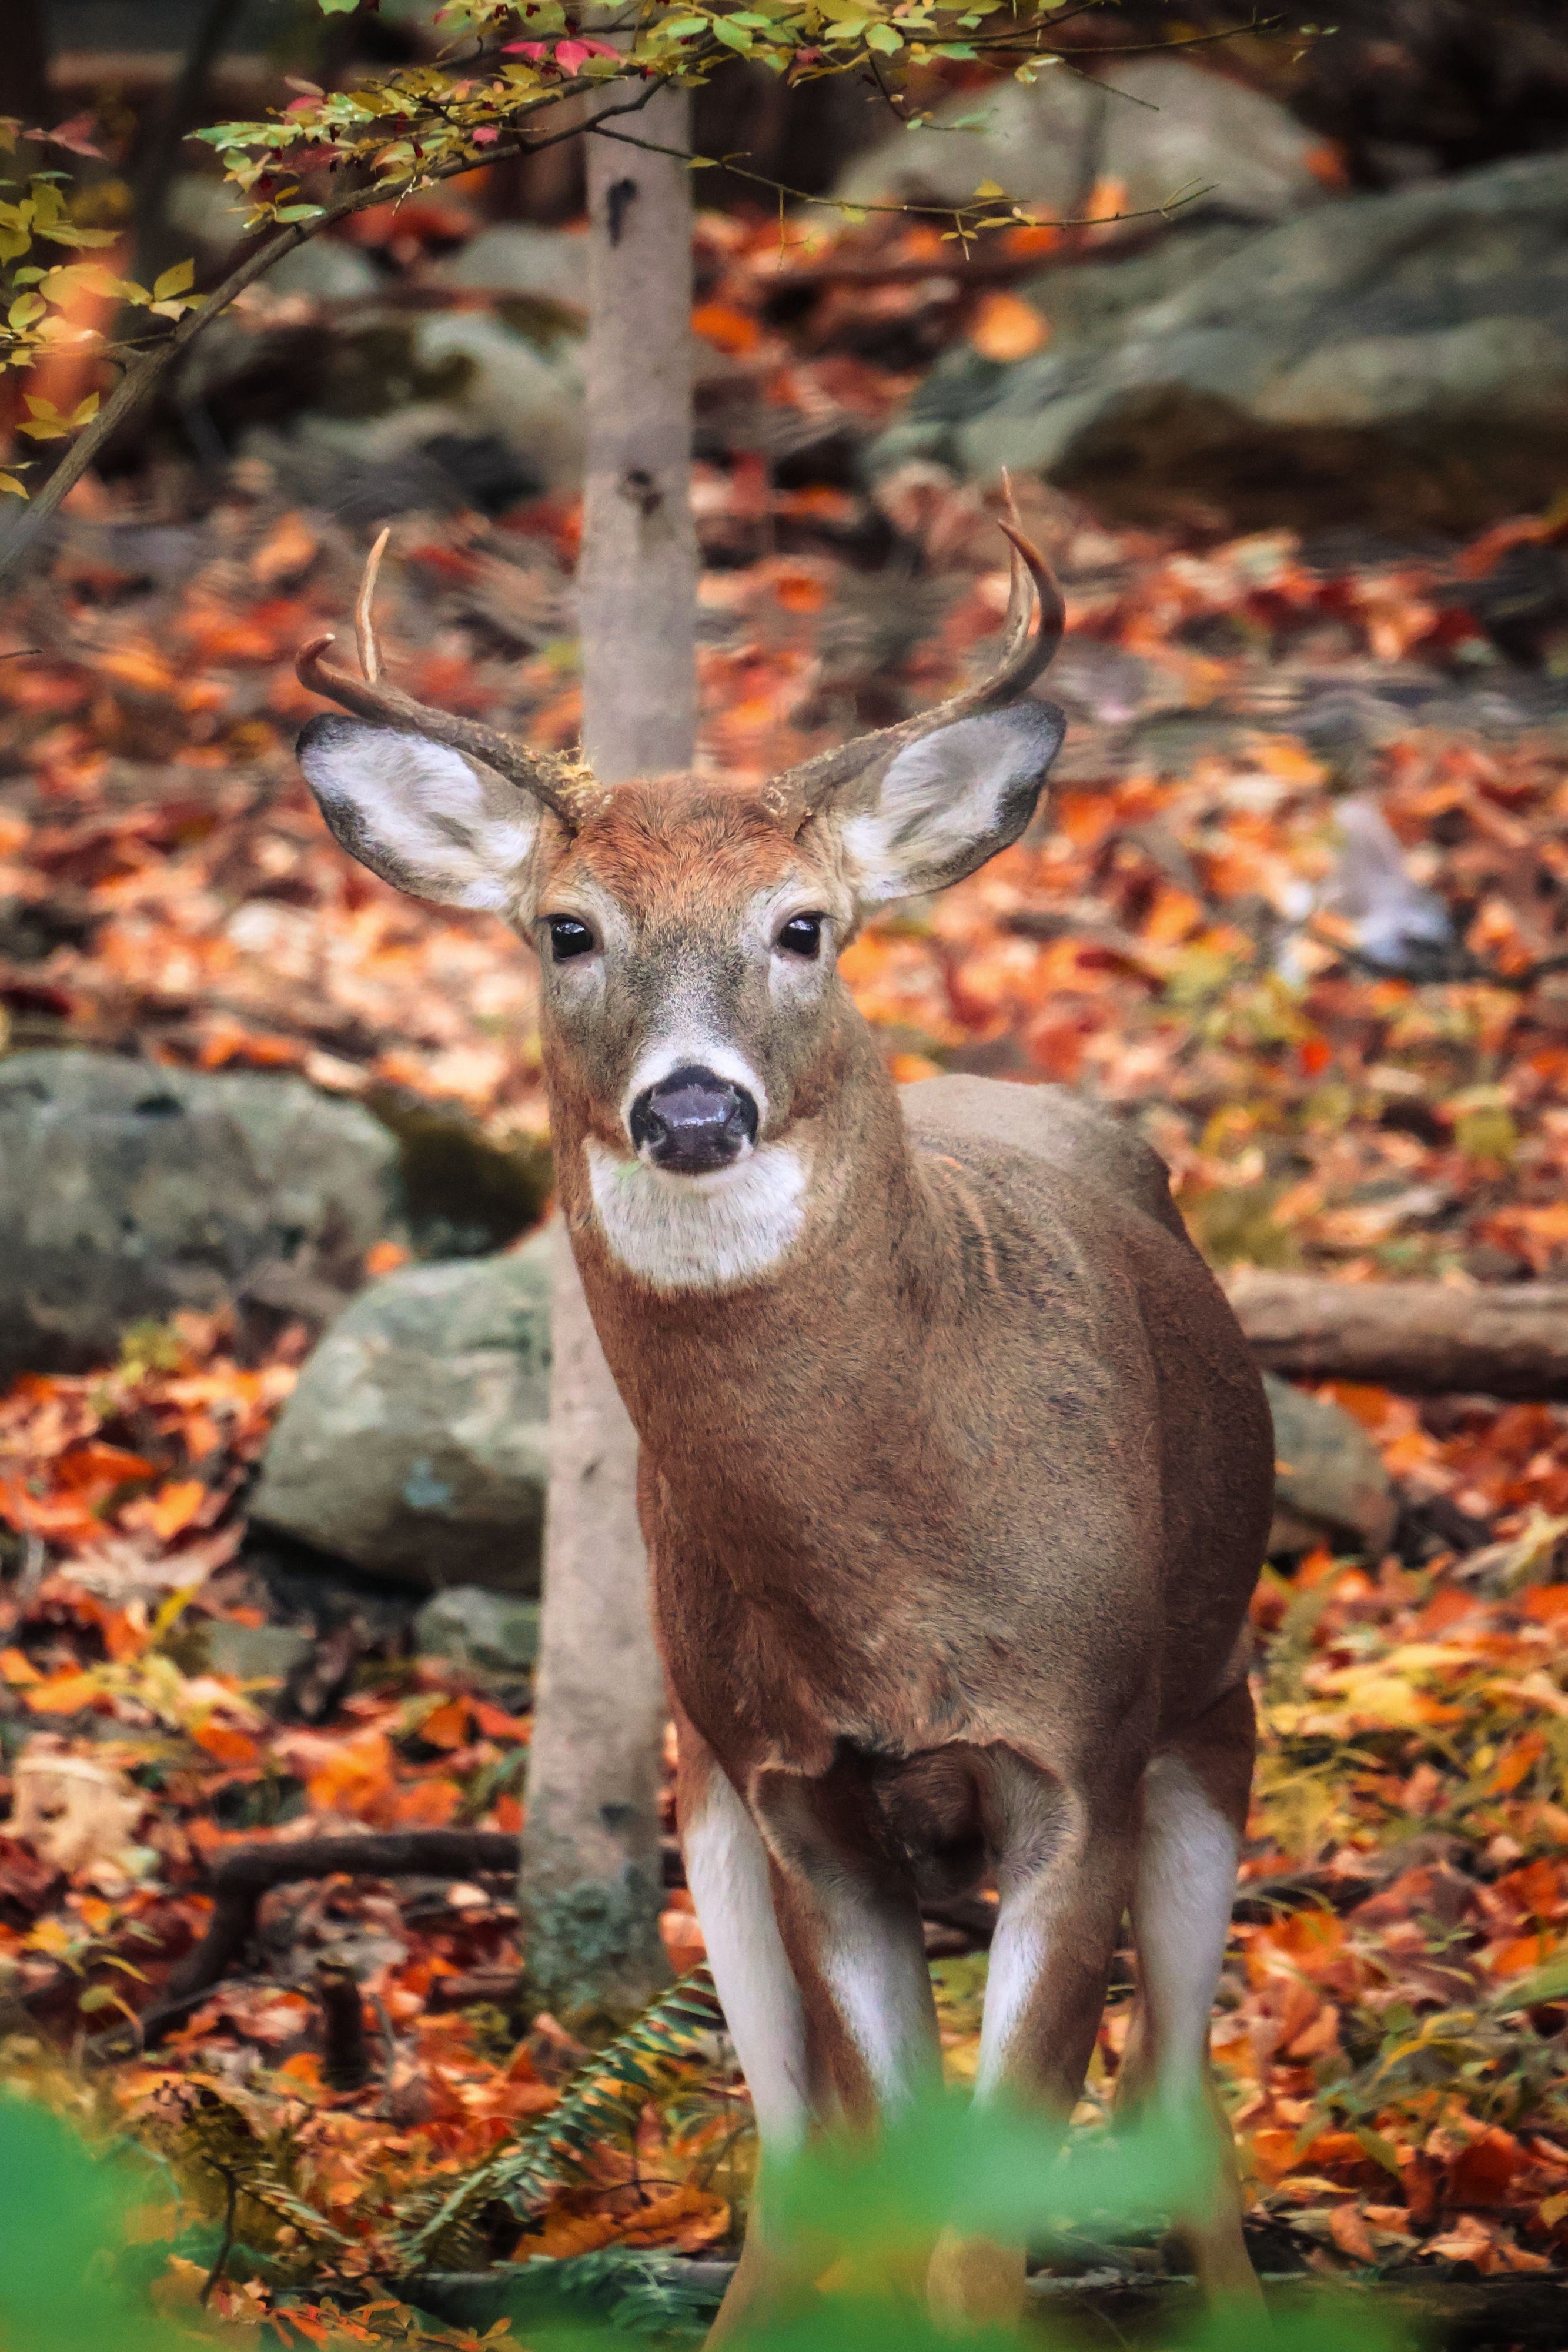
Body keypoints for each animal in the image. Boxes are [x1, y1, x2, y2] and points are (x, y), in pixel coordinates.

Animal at [293, 519, 1273, 2336]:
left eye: (803, 924)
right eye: (567, 929)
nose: (692, 1106)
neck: (897, 1586)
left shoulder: (1082, 1749)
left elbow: (984, 2222)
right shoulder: (790, 1782)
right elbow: (895, 2178)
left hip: (1215, 1706)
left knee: (1177, 2092)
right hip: (698, 1779)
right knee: (800, 2157)